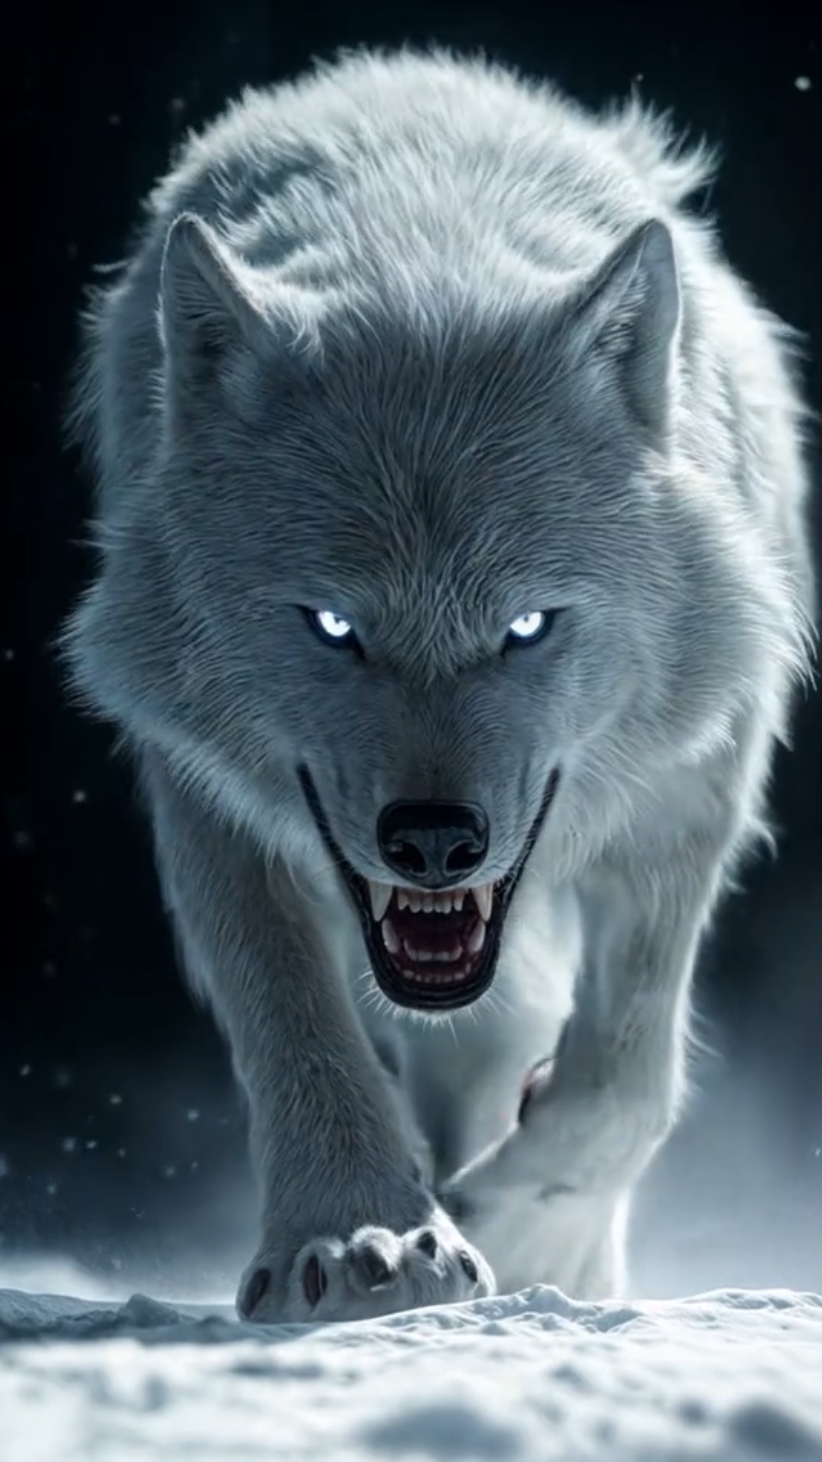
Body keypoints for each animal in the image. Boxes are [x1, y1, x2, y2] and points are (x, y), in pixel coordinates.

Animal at [62, 46, 815, 1322]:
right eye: (332, 625)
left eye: (526, 625)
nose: (430, 841)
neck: (420, 252)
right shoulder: (205, 795)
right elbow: (295, 1025)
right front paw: (362, 1237)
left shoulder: (691, 799)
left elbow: (624, 1077)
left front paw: (521, 1238)